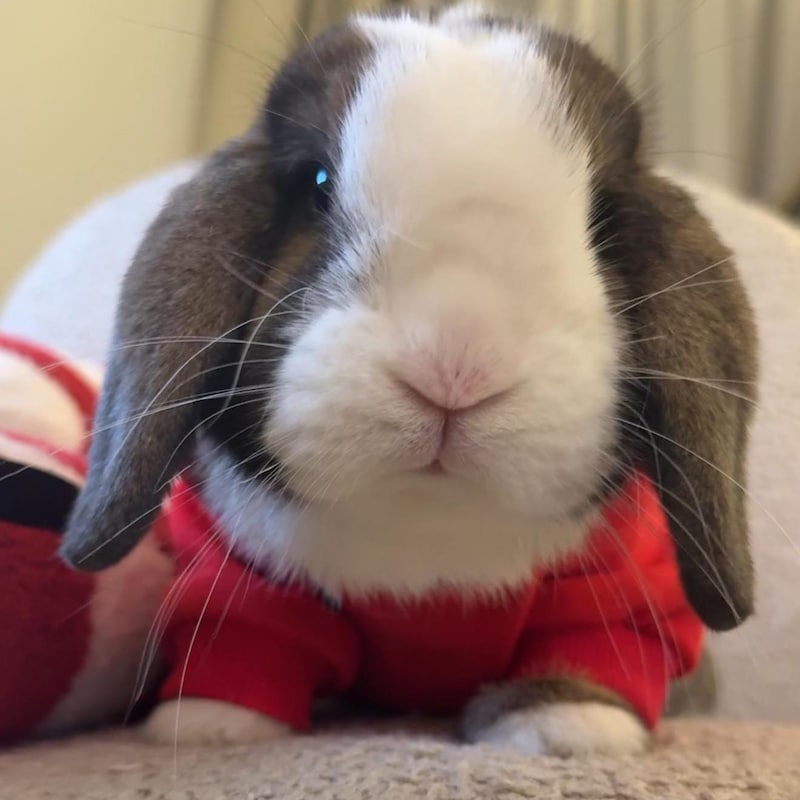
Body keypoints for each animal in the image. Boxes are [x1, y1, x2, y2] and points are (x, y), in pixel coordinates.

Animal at [58, 3, 757, 757]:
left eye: (602, 217)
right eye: (316, 184)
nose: (456, 368)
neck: (427, 537)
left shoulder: (624, 590)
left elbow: (597, 642)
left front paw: (566, 728)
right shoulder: (246, 577)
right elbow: (246, 637)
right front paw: (214, 725)